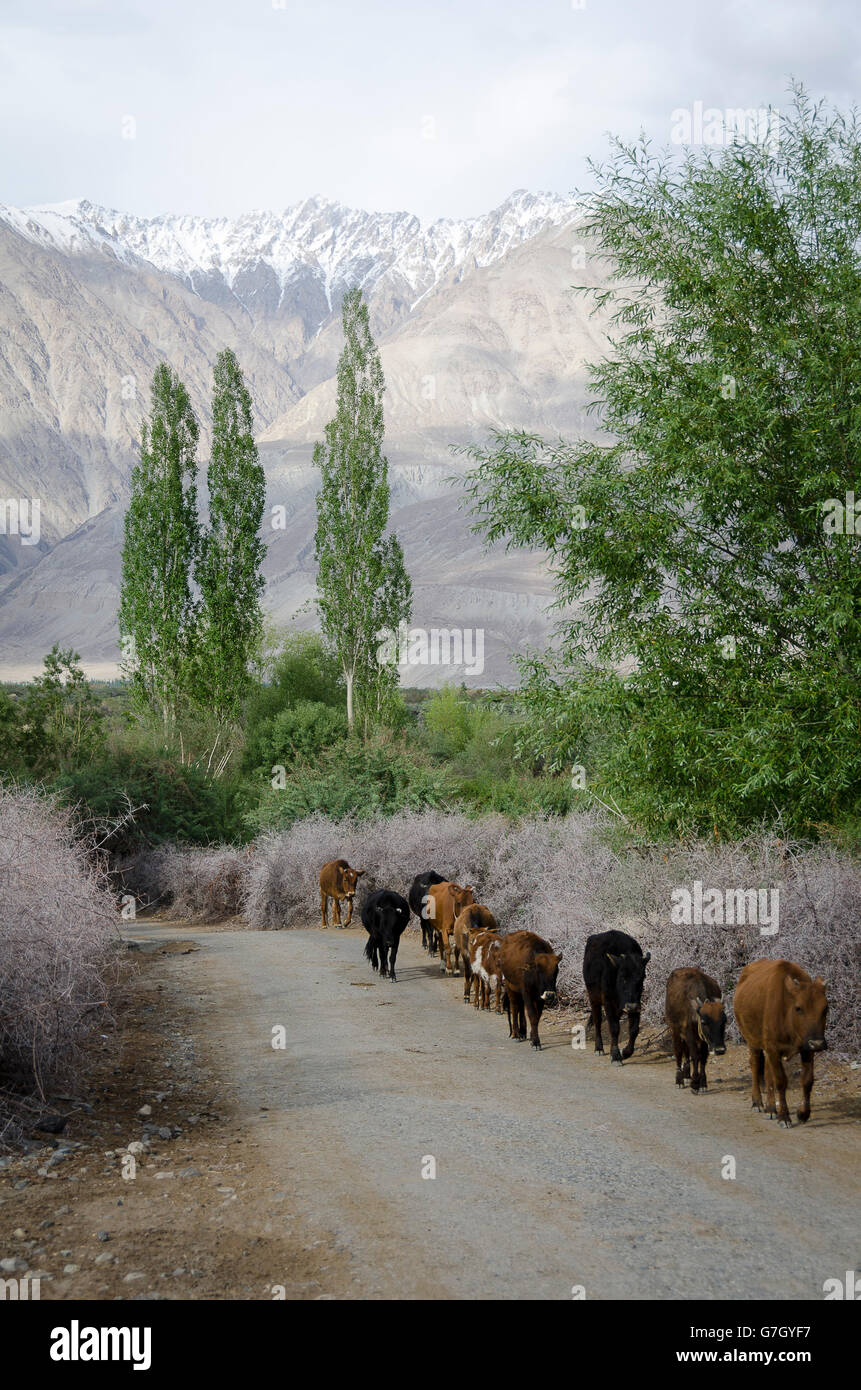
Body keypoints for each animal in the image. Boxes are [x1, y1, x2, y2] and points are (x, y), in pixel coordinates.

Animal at [583, 929, 650, 1063]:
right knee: (597, 1022)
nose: (631, 1006)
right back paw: (599, 1048)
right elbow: (614, 1028)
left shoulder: (636, 1004)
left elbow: (634, 1029)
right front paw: (615, 1055)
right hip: (594, 999)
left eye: (642, 977)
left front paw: (626, 1052)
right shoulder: (608, 1002)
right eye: (622, 977)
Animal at [733, 958, 828, 1128]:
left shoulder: (806, 1050)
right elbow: (781, 1081)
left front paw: (803, 1113)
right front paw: (784, 1117)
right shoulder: (773, 1049)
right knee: (755, 1066)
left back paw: (771, 1108)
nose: (817, 1043)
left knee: (767, 1074)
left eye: (825, 1009)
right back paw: (758, 1103)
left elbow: (807, 1080)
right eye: (798, 1008)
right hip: (752, 1041)